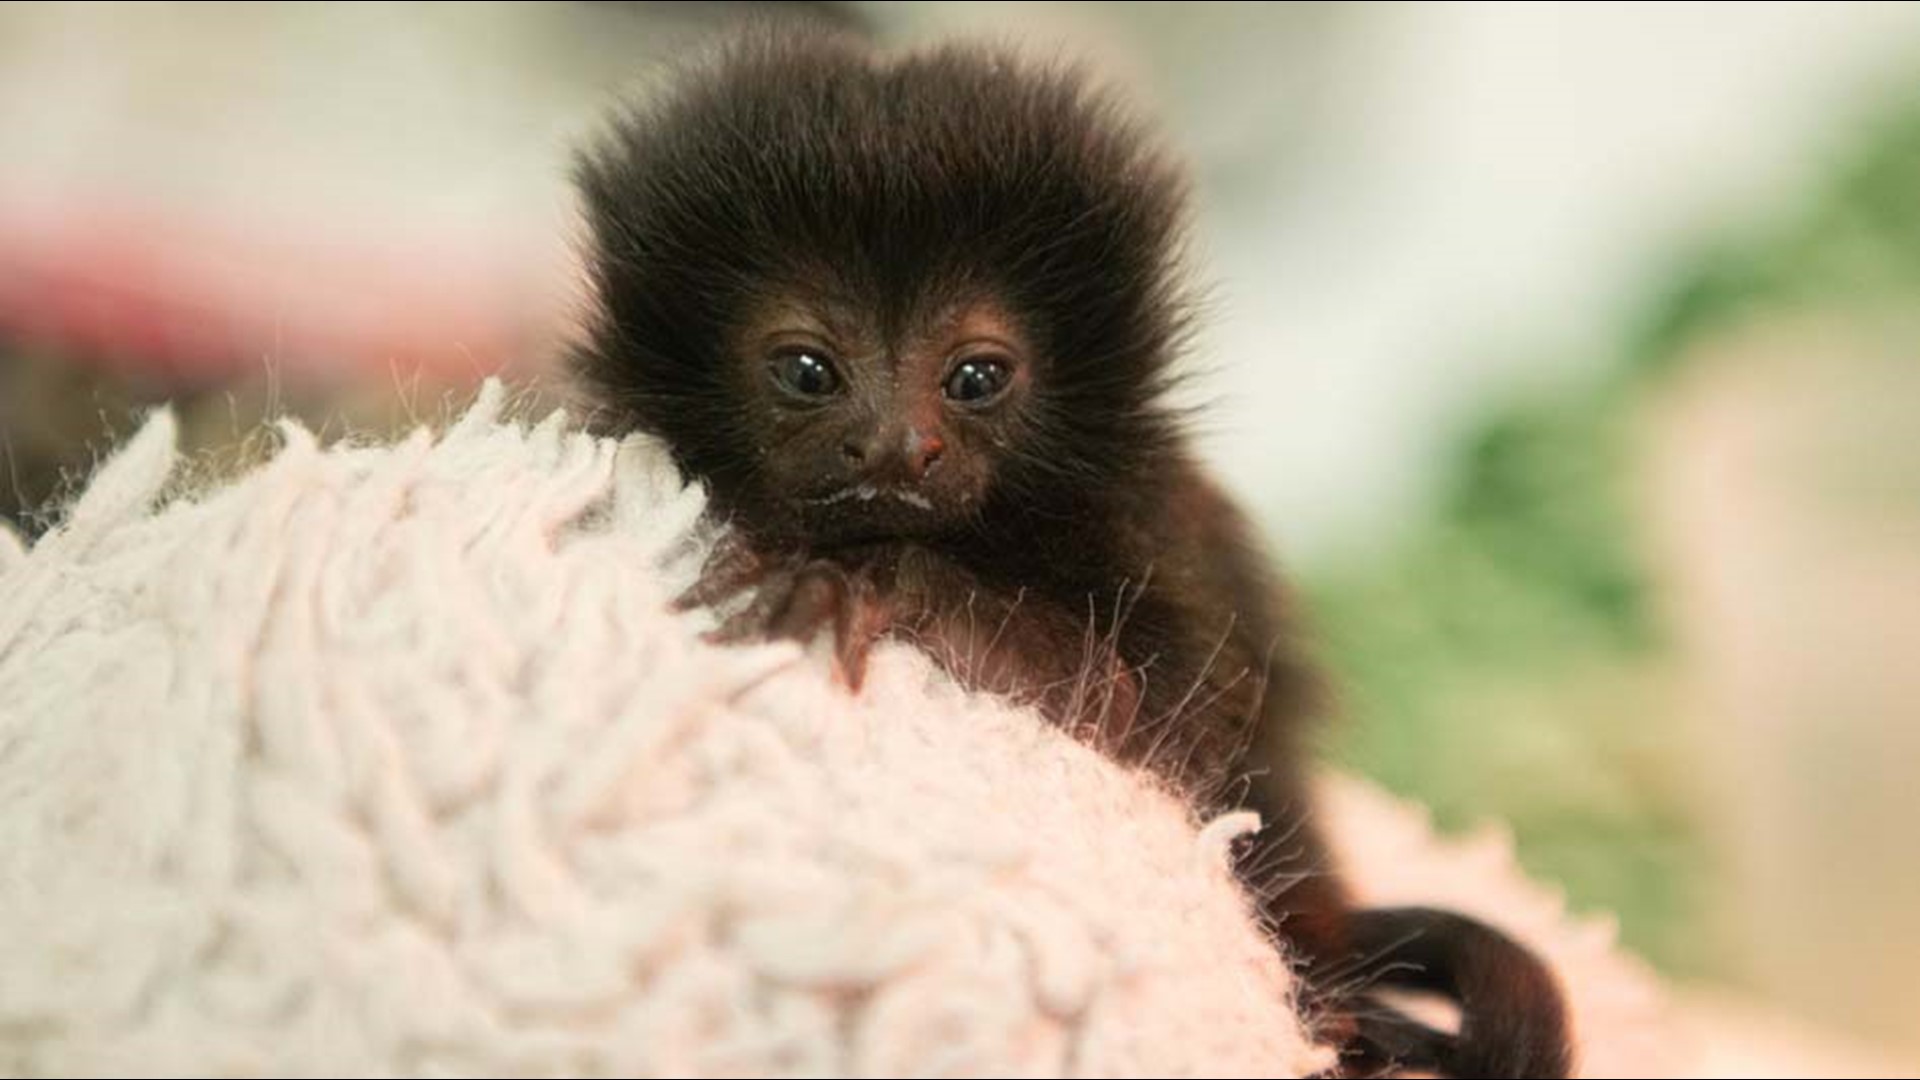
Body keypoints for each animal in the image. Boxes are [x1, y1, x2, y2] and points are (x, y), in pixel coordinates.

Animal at [568, 30, 1573, 1080]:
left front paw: (862, 579)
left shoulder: (1151, 524)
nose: (895, 447)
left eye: (975, 378)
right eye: (809, 371)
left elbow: (1148, 737)